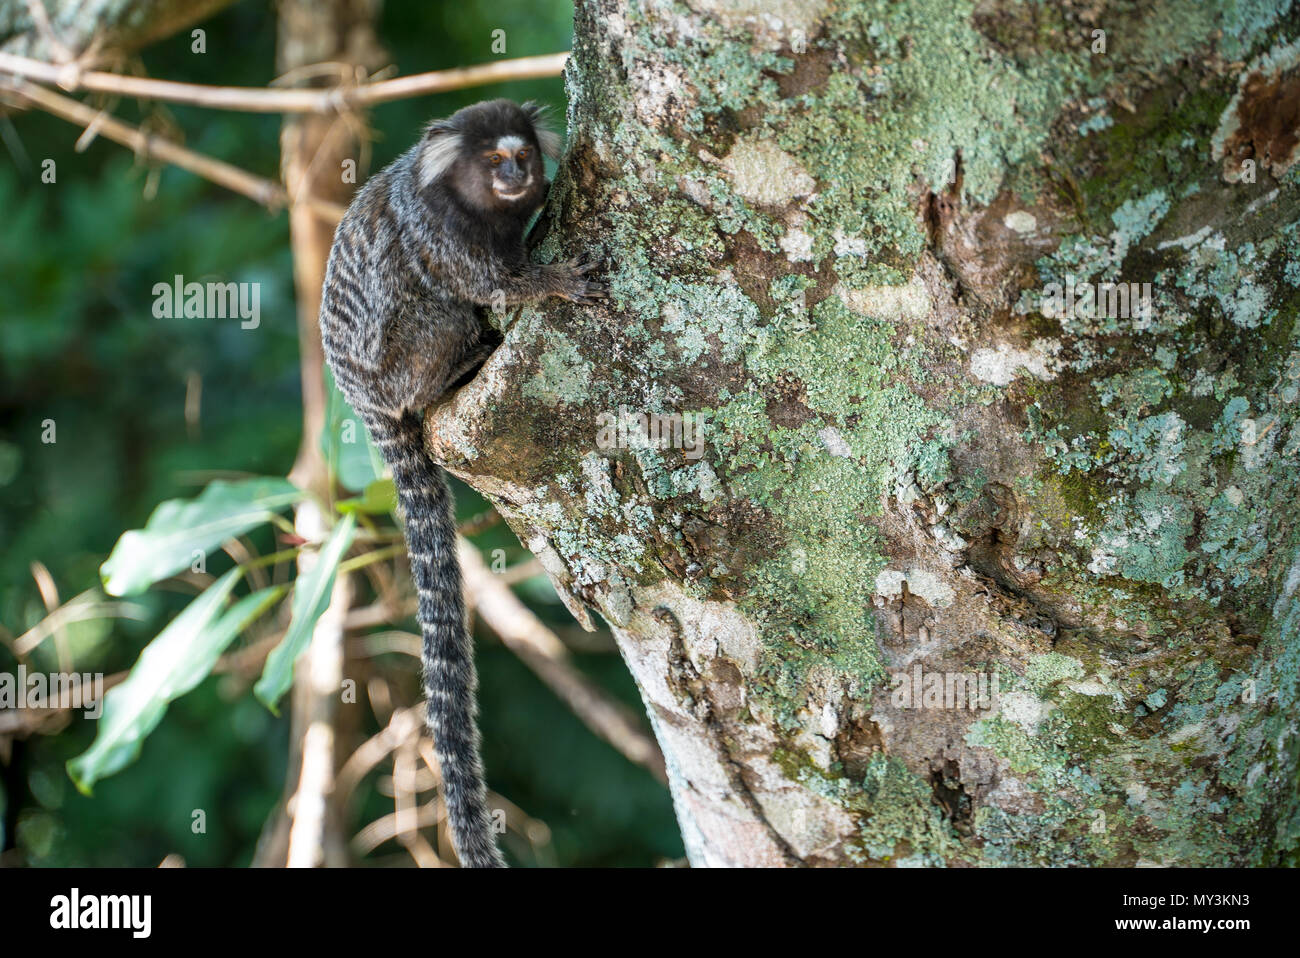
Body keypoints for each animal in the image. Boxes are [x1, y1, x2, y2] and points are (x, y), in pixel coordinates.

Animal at [319, 98, 603, 868]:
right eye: (493, 160)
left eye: (522, 156)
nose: (517, 176)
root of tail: (369, 406)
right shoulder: (439, 235)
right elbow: (482, 282)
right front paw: (550, 282)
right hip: (401, 360)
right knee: (435, 309)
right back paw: (466, 358)